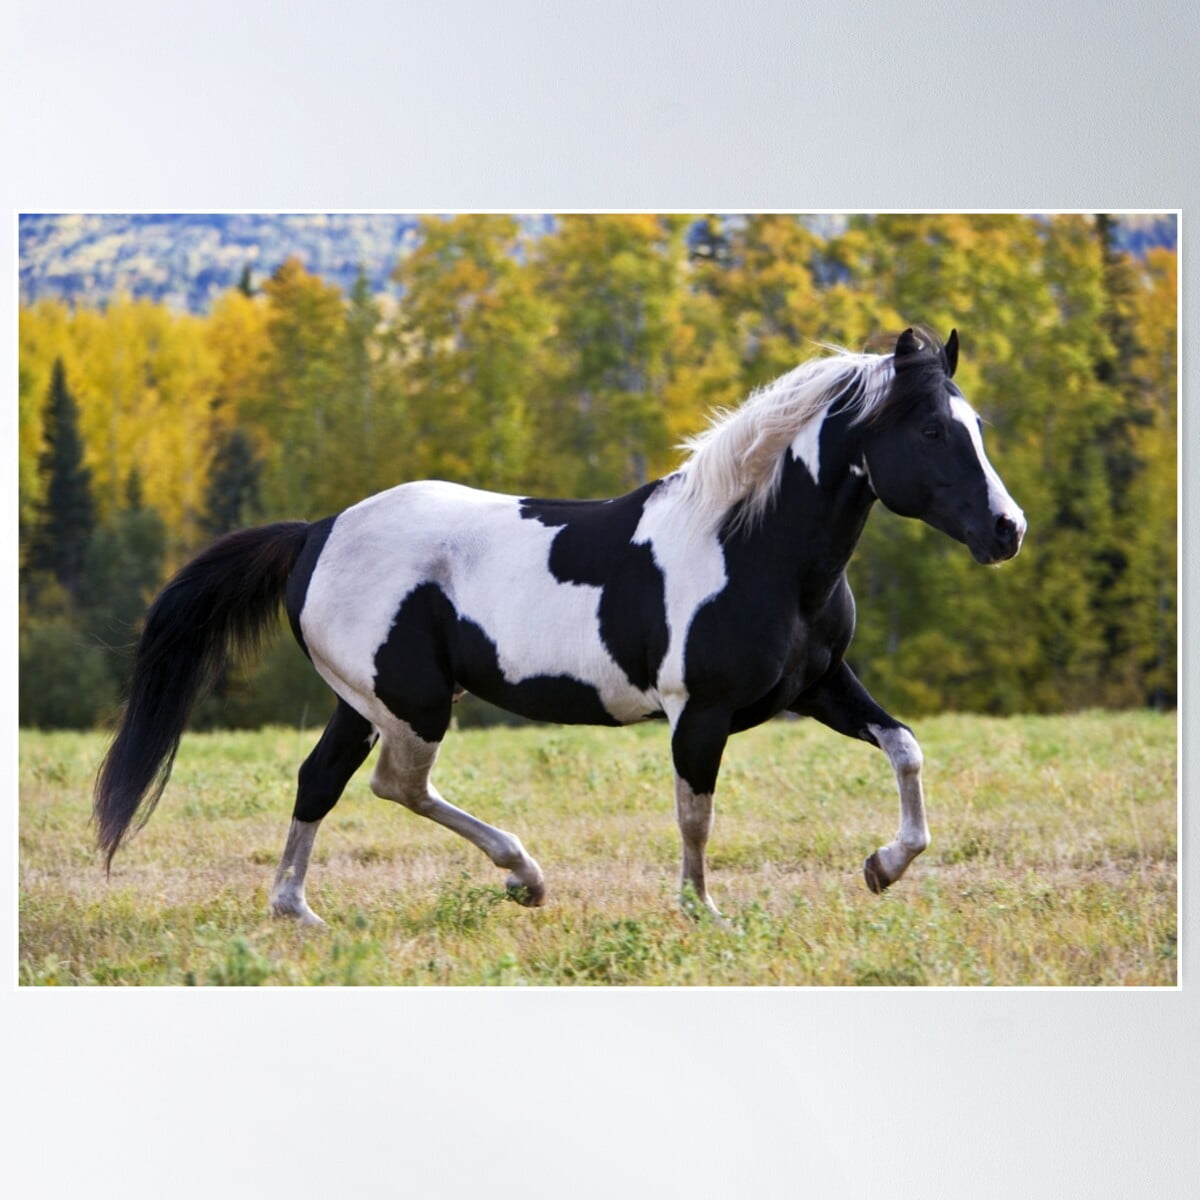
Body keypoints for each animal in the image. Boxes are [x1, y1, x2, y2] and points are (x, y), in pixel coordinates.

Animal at [94, 326, 1025, 925]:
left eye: (978, 424)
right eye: (933, 428)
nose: (1007, 531)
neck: (754, 547)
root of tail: (315, 533)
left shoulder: (821, 685)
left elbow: (905, 747)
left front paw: (881, 868)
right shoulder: (700, 713)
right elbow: (695, 815)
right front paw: (702, 911)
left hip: (363, 702)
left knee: (320, 780)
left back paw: (300, 909)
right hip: (412, 704)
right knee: (396, 785)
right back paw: (523, 877)